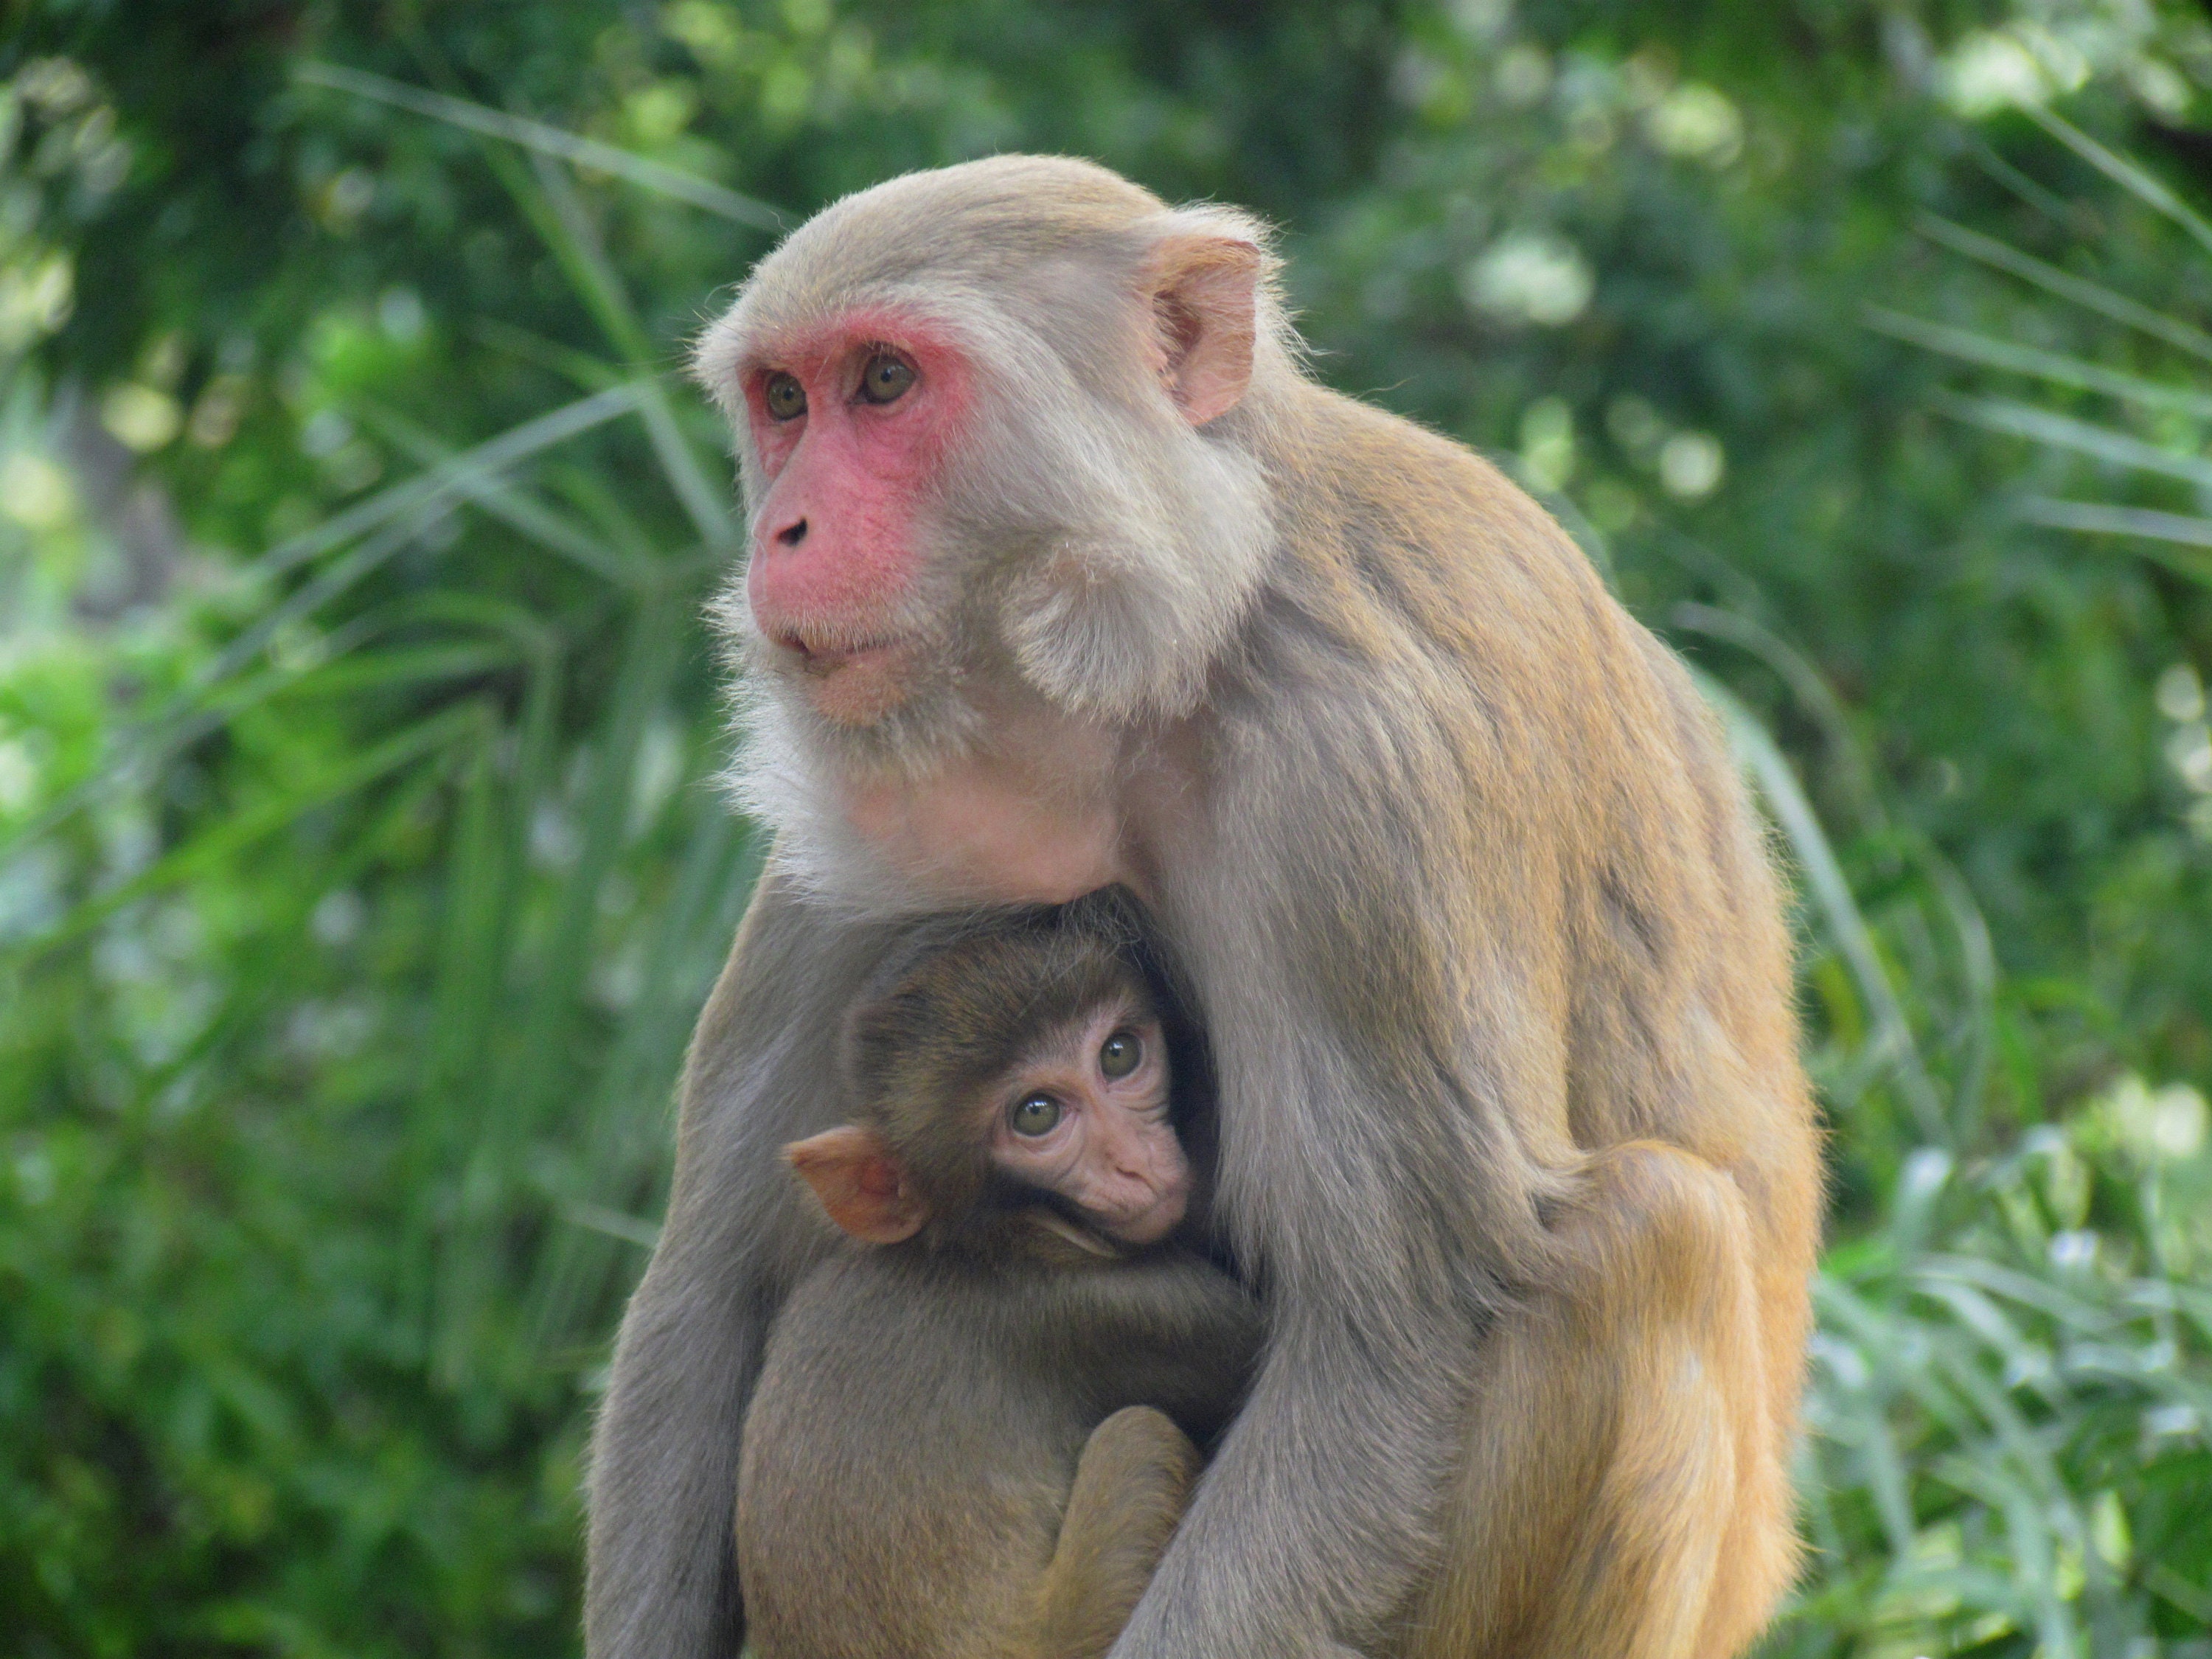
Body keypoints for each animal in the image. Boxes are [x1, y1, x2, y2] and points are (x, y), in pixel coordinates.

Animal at [735, 890, 1262, 1659]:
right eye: (1036, 1115)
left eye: (1119, 1054)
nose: (1135, 1161)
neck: (988, 1243)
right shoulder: (1108, 1310)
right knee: (1137, 1437)